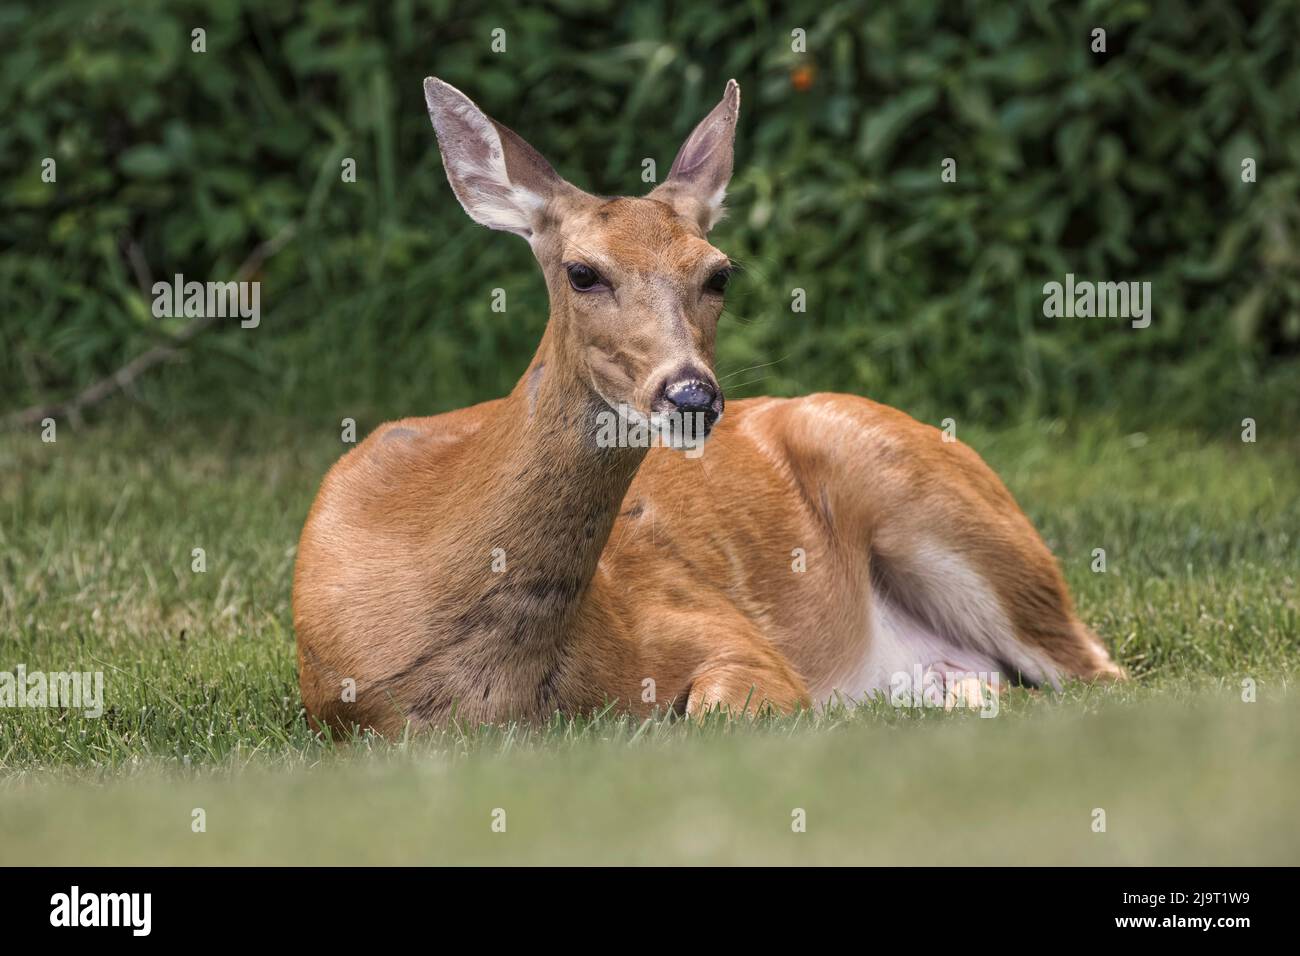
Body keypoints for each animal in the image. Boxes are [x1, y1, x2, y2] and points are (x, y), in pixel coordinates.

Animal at [292, 77, 1123, 737]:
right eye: (583, 272)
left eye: (719, 273)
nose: (690, 394)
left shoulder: (727, 635)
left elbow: (715, 710)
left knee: (1097, 673)